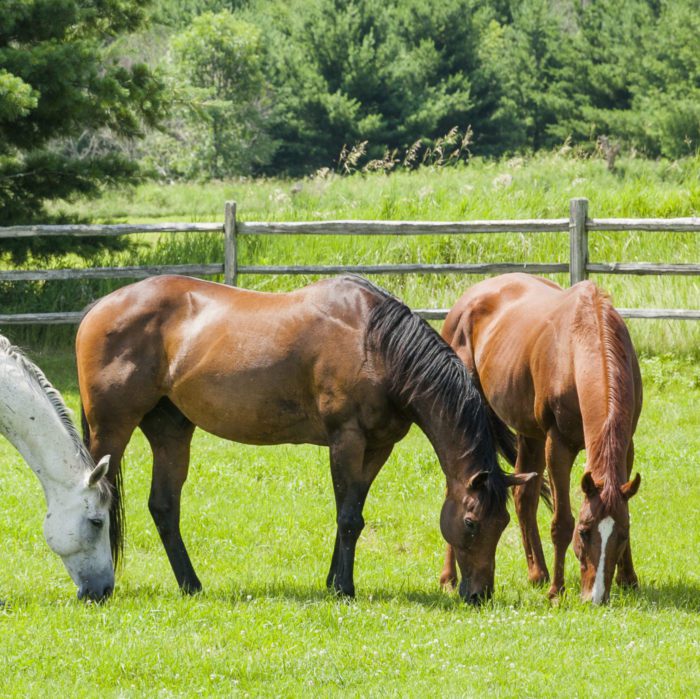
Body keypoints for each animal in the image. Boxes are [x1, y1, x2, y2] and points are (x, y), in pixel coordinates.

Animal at [76, 274, 535, 602]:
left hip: (170, 431)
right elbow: (348, 518)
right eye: (472, 522)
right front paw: (345, 588)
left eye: (503, 522)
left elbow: (352, 514)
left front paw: (334, 581)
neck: (376, 345)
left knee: (164, 507)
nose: (479, 595)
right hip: (111, 430)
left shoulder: (378, 448)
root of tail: (98, 308)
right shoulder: (346, 440)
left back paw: (191, 585)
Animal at [438, 274, 642, 604]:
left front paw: (629, 579)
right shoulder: (557, 445)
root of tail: (468, 298)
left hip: (529, 434)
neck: (580, 343)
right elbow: (561, 522)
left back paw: (538, 572)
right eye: (585, 531)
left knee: (524, 497)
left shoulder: (627, 447)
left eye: (621, 534)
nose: (595, 596)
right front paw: (557, 591)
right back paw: (449, 579)